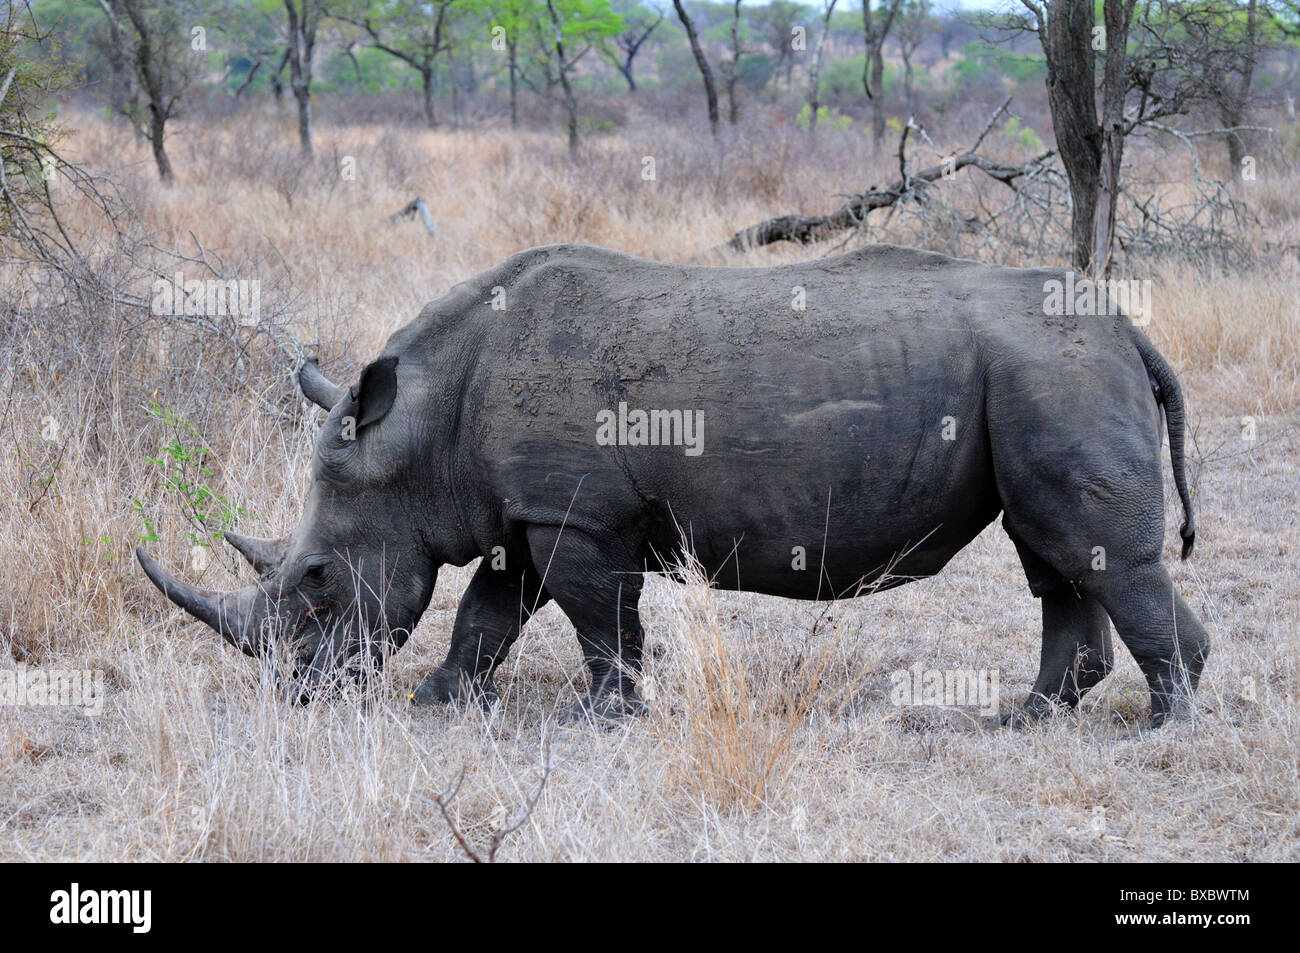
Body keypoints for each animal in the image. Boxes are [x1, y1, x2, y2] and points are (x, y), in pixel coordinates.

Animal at [137, 243, 1210, 727]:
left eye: (317, 577)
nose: (298, 693)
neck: (419, 432)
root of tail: (1127, 329)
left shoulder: (573, 515)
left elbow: (595, 618)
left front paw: (604, 716)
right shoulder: (526, 511)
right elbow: (488, 613)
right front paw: (443, 701)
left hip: (1055, 375)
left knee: (1090, 551)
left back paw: (1163, 725)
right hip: (1043, 377)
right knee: (1054, 554)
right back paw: (1029, 717)